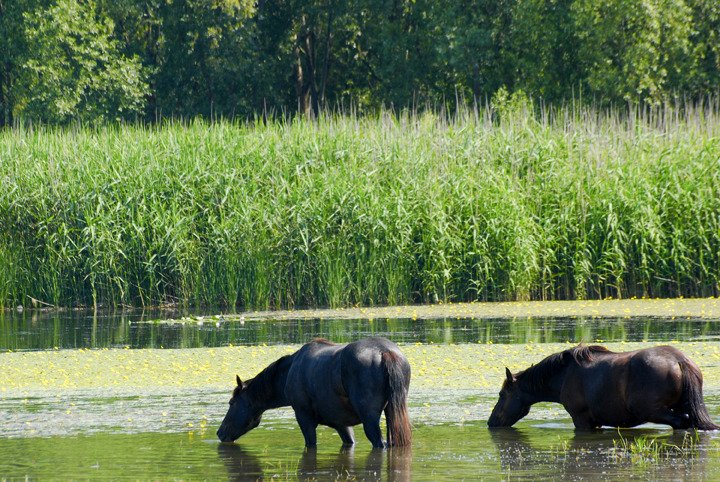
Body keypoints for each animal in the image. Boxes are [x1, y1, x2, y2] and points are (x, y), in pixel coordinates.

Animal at [217, 337, 412, 448]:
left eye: (231, 403)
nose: (219, 432)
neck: (285, 376)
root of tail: (386, 353)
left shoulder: (304, 417)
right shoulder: (341, 423)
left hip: (369, 417)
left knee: (380, 443)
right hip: (393, 411)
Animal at [488, 344, 719, 430]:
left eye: (501, 394)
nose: (491, 422)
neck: (562, 376)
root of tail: (680, 361)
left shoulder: (581, 419)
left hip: (654, 410)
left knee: (681, 422)